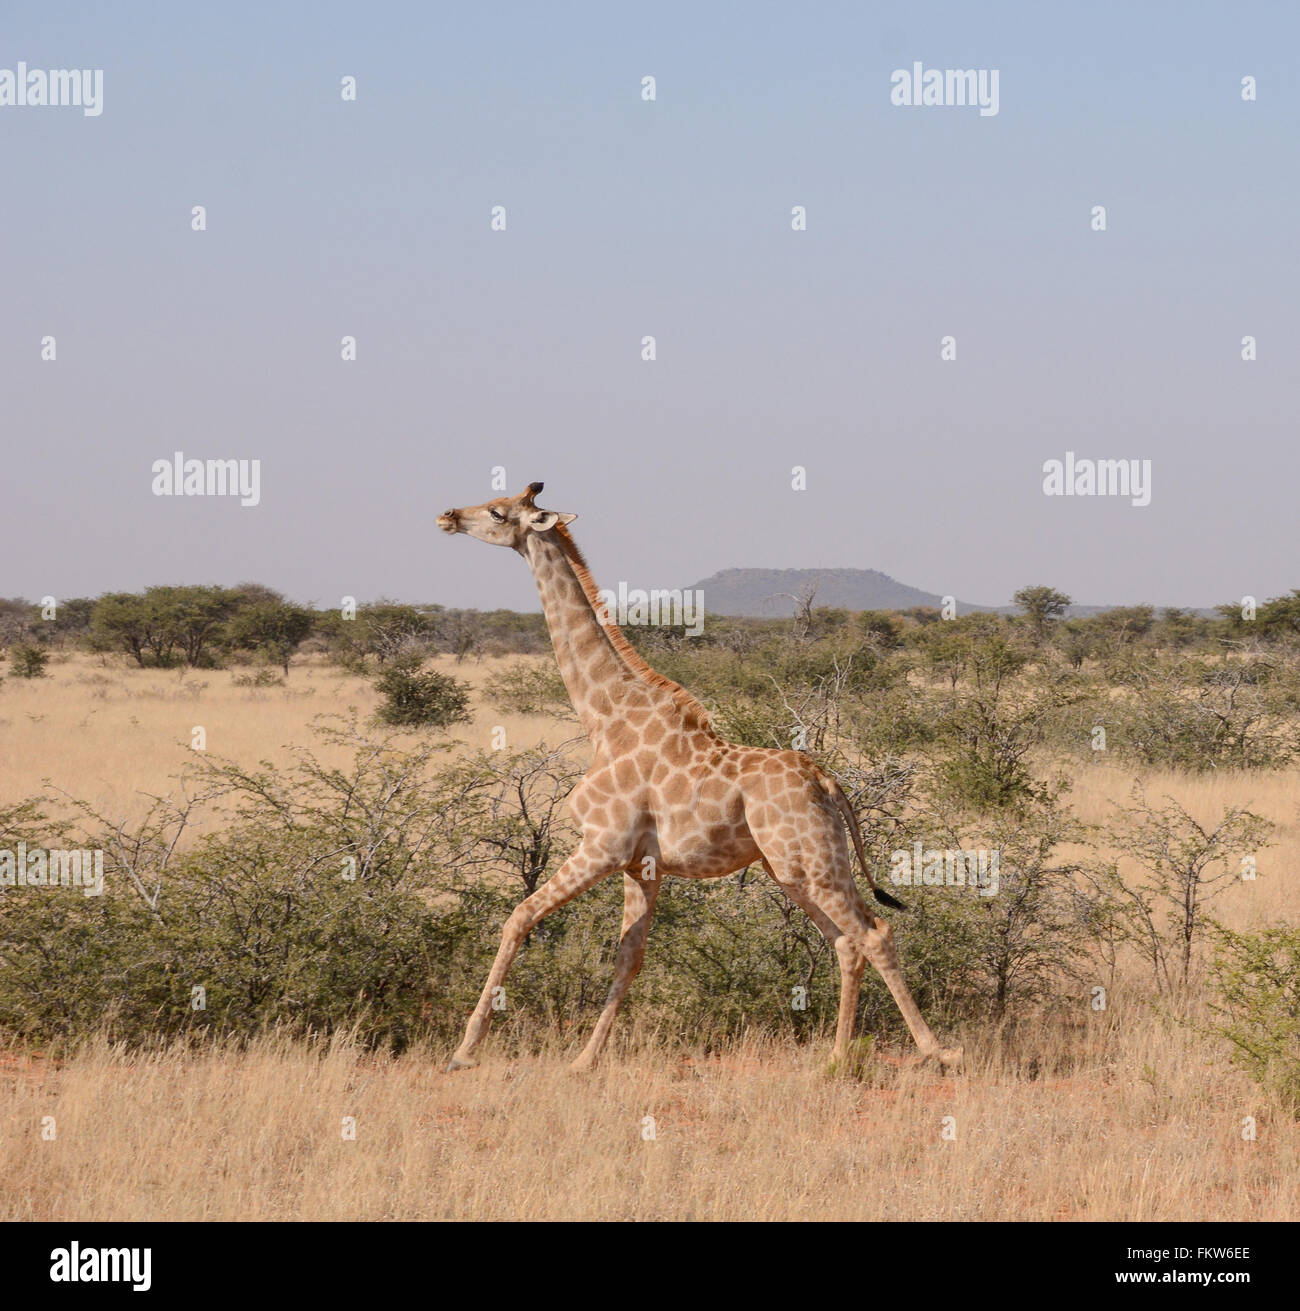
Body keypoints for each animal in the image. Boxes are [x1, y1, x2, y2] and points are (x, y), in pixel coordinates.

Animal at [437, 483, 962, 1073]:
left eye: (498, 511)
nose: (448, 516)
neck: (604, 718)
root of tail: (829, 783)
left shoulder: (602, 845)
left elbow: (518, 917)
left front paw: (464, 1050)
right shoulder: (641, 863)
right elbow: (629, 956)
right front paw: (584, 1060)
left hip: (812, 865)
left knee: (875, 933)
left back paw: (936, 1050)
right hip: (794, 869)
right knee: (847, 942)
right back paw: (834, 1057)